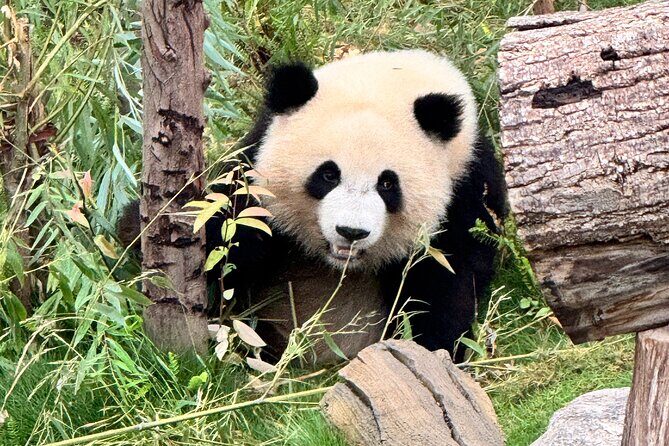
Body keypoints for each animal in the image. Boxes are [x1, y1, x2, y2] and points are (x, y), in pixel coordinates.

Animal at [205, 49, 508, 364]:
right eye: (328, 174)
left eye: (387, 184)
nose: (351, 232)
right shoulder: (254, 159)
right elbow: (232, 229)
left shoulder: (467, 189)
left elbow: (446, 281)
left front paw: (430, 347)